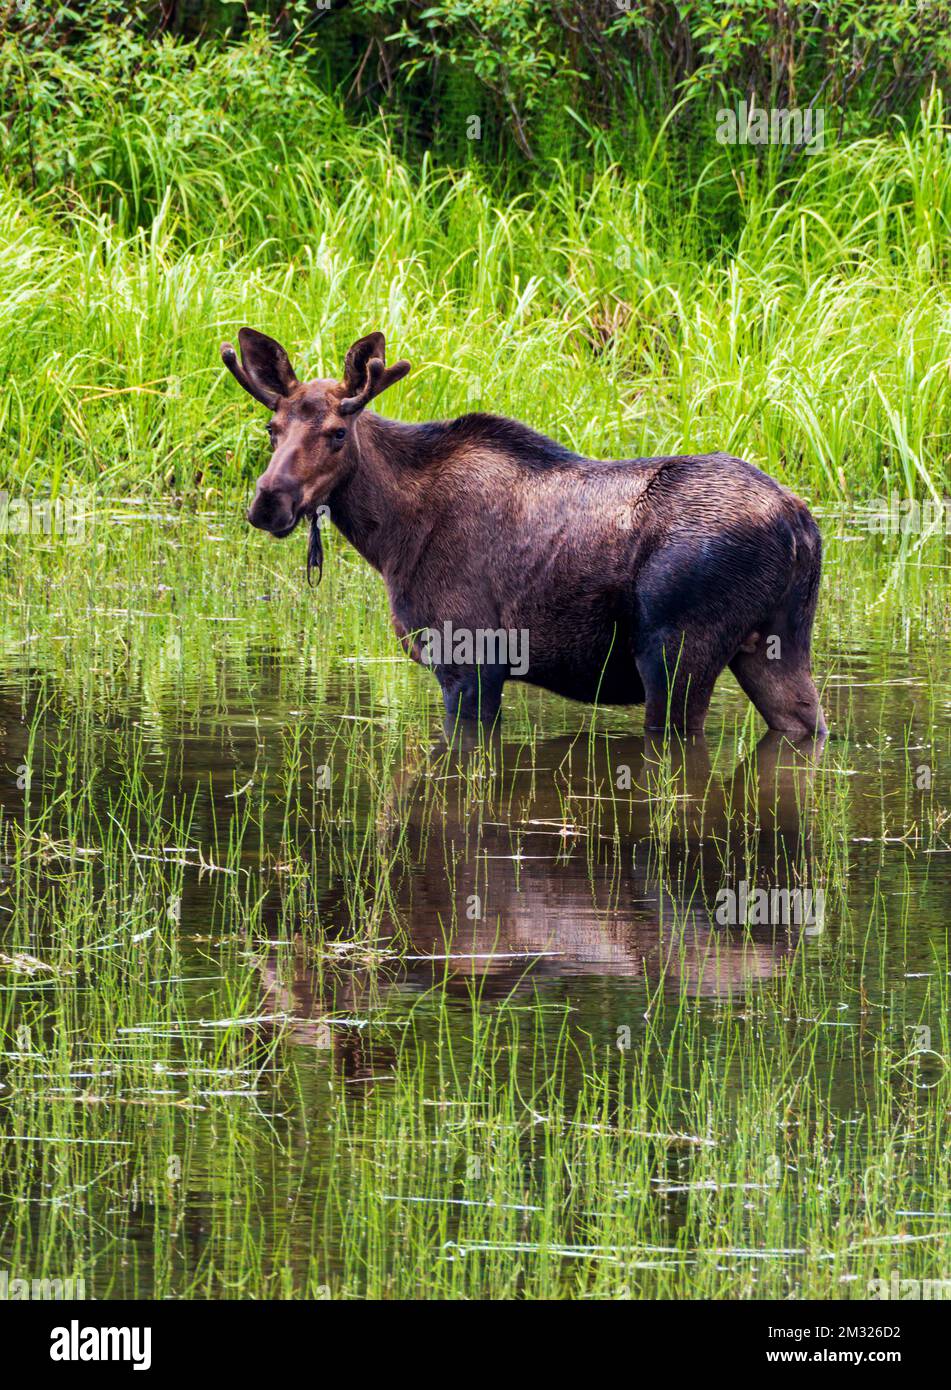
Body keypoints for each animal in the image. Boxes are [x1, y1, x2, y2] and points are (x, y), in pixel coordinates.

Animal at [221, 328, 826, 742]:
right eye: (272, 428)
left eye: (337, 433)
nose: (268, 501)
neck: (390, 537)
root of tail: (800, 525)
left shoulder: (468, 660)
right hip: (777, 643)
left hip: (676, 655)